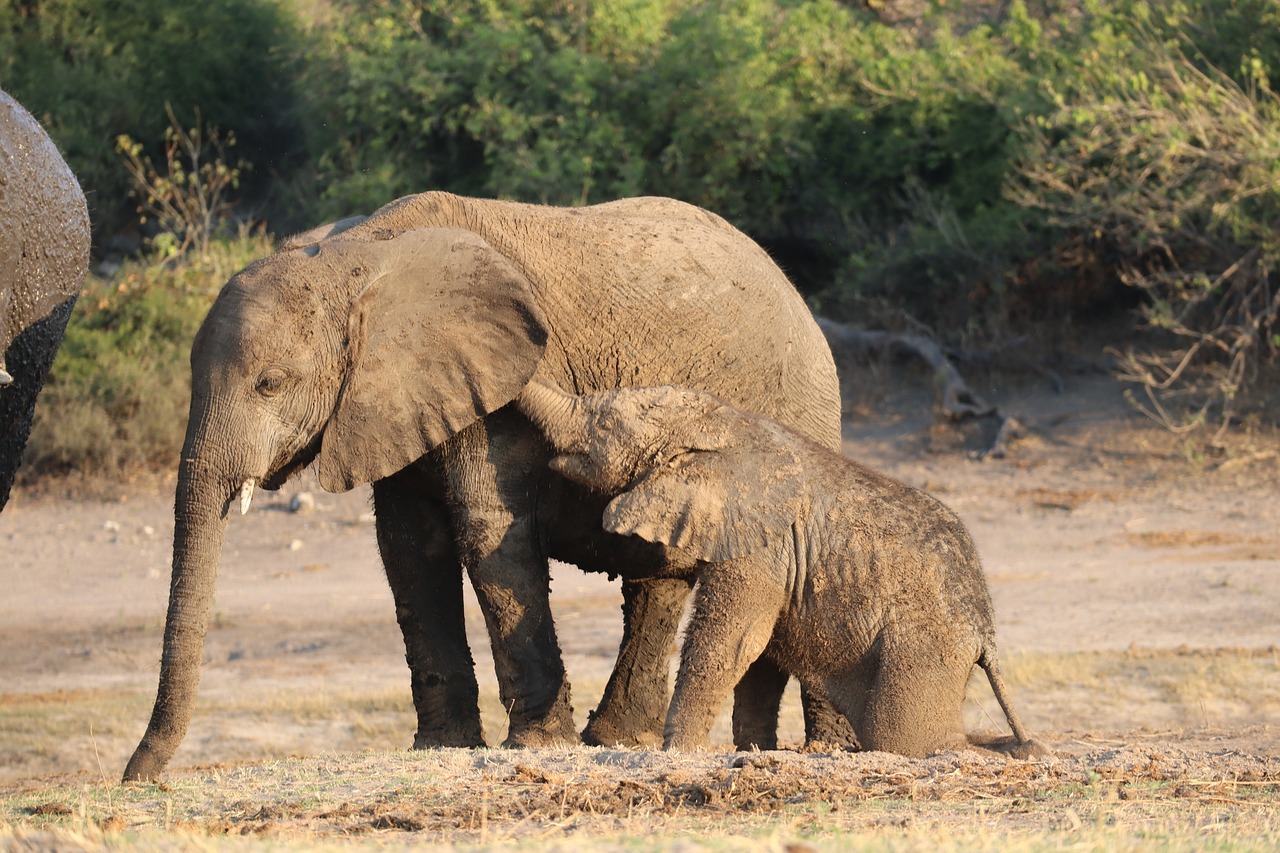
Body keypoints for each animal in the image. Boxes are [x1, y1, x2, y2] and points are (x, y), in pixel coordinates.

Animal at [123, 190, 853, 781]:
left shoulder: (482, 394)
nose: (139, 777)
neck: (355, 256)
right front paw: (441, 747)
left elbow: (488, 531)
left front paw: (536, 746)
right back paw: (615, 740)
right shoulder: (397, 398)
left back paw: (824, 750)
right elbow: (408, 549)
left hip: (801, 416)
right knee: (658, 578)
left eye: (270, 383)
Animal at [516, 380, 1049, 758]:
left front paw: (678, 752)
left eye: (606, 425)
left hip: (924, 648)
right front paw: (754, 751)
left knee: (902, 739)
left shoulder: (761, 547)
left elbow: (733, 641)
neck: (728, 425)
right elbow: (761, 654)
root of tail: (987, 634)